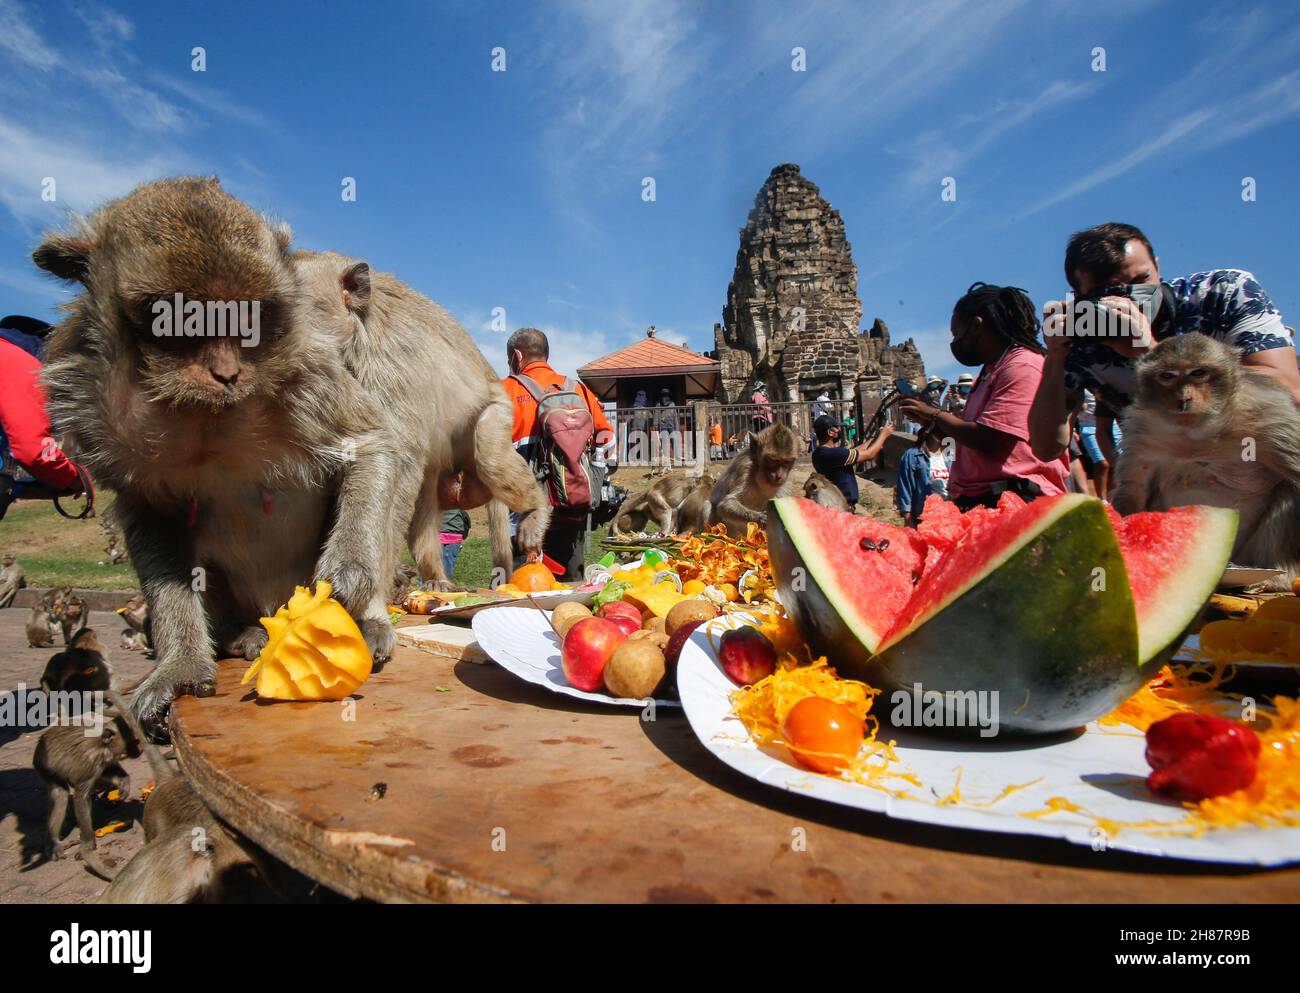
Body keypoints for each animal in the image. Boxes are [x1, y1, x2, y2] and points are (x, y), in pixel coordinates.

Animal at [35, 177, 404, 730]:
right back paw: (240, 635)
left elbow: (368, 444)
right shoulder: (87, 399)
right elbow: (149, 514)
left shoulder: (308, 366)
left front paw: (349, 574)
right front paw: (179, 666)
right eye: (181, 319)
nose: (227, 372)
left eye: (250, 316)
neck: (205, 416)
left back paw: (368, 623)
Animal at [292, 250, 551, 591]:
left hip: (497, 414)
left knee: (490, 458)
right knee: (424, 490)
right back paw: (436, 578)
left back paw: (536, 508)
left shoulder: (391, 362)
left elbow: (393, 455)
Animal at [1112, 332, 1300, 587]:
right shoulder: (1140, 430)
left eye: (1199, 373)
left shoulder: (1273, 416)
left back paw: (1276, 577)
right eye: (1167, 376)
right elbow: (1135, 487)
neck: (1197, 434)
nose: (1183, 399)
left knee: (1289, 491)